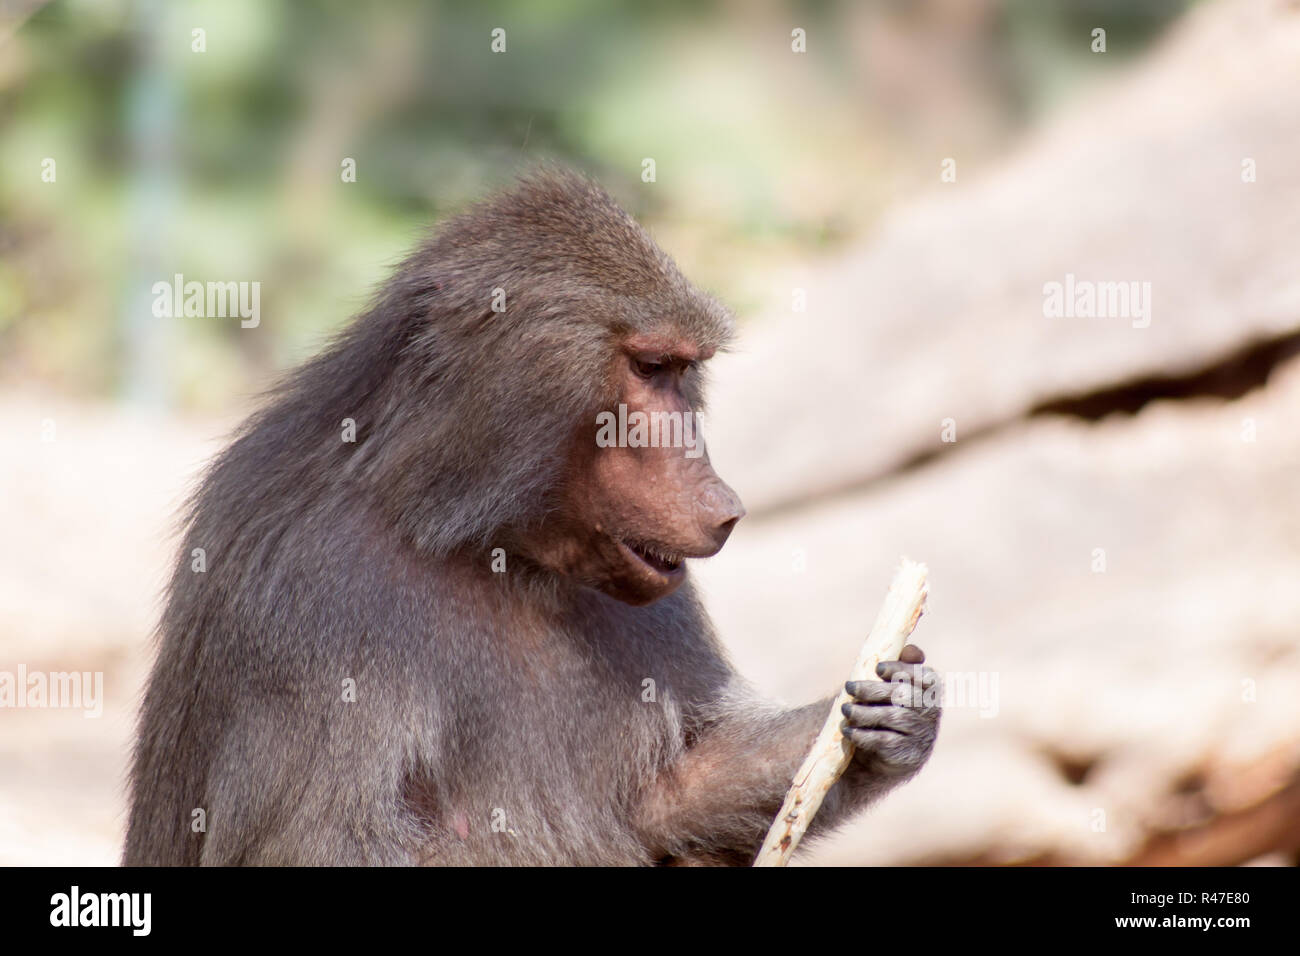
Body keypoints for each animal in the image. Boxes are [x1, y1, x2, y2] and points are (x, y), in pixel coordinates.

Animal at [124, 170, 940, 866]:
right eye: (650, 368)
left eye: (684, 372)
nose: (725, 506)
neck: (475, 538)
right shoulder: (314, 593)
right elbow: (315, 845)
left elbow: (672, 792)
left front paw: (899, 716)